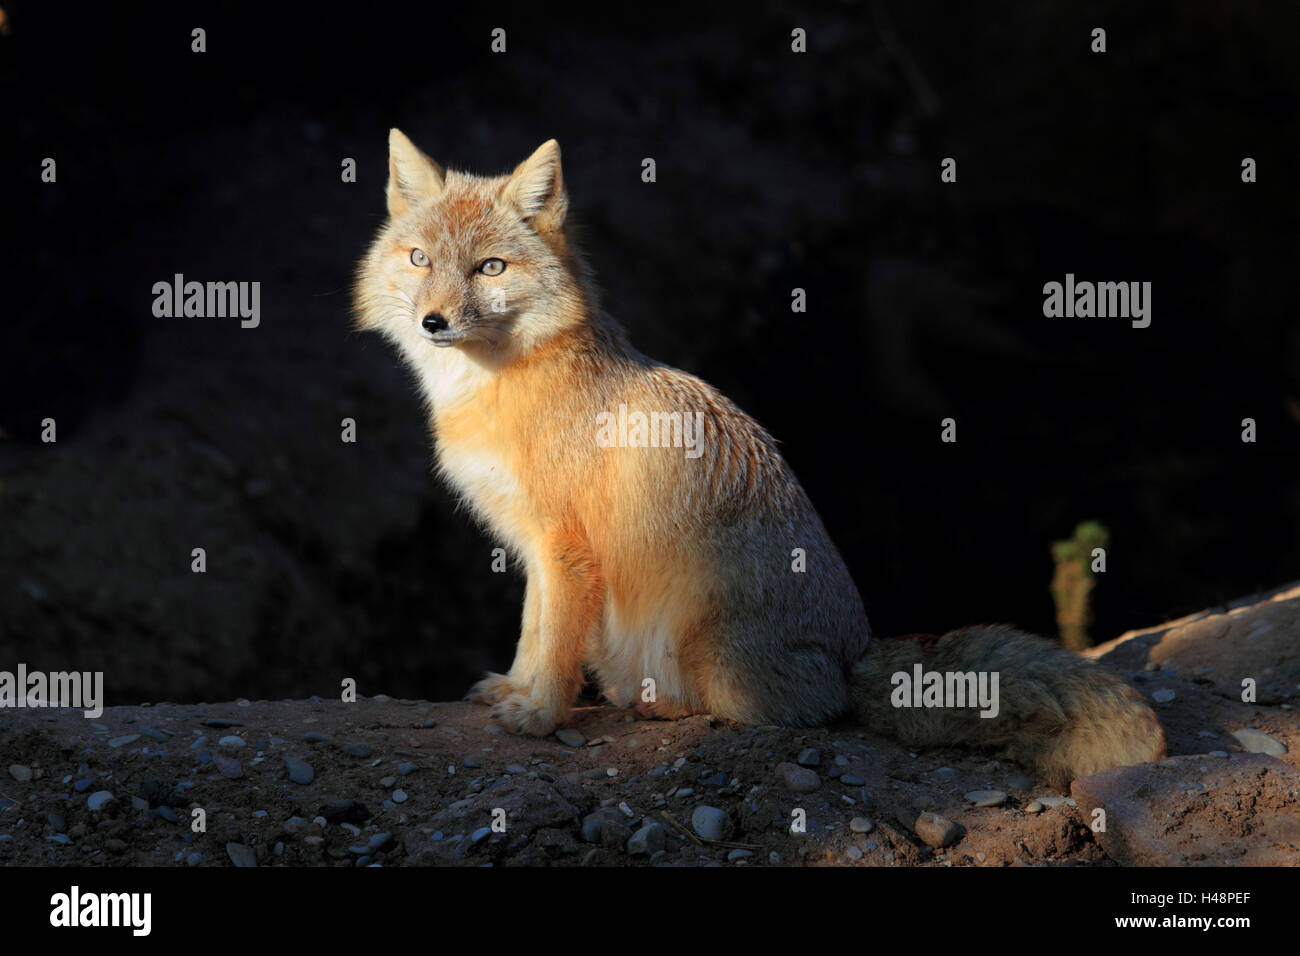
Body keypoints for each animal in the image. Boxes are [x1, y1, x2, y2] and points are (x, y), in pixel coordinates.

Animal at [353, 130, 1166, 788]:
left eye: (489, 268)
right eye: (421, 259)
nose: (434, 322)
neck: (501, 384)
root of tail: (854, 652)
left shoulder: (567, 547)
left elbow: (556, 644)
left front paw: (542, 715)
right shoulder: (533, 546)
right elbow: (533, 631)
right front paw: (515, 690)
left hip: (695, 637)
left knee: (768, 713)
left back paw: (658, 708)